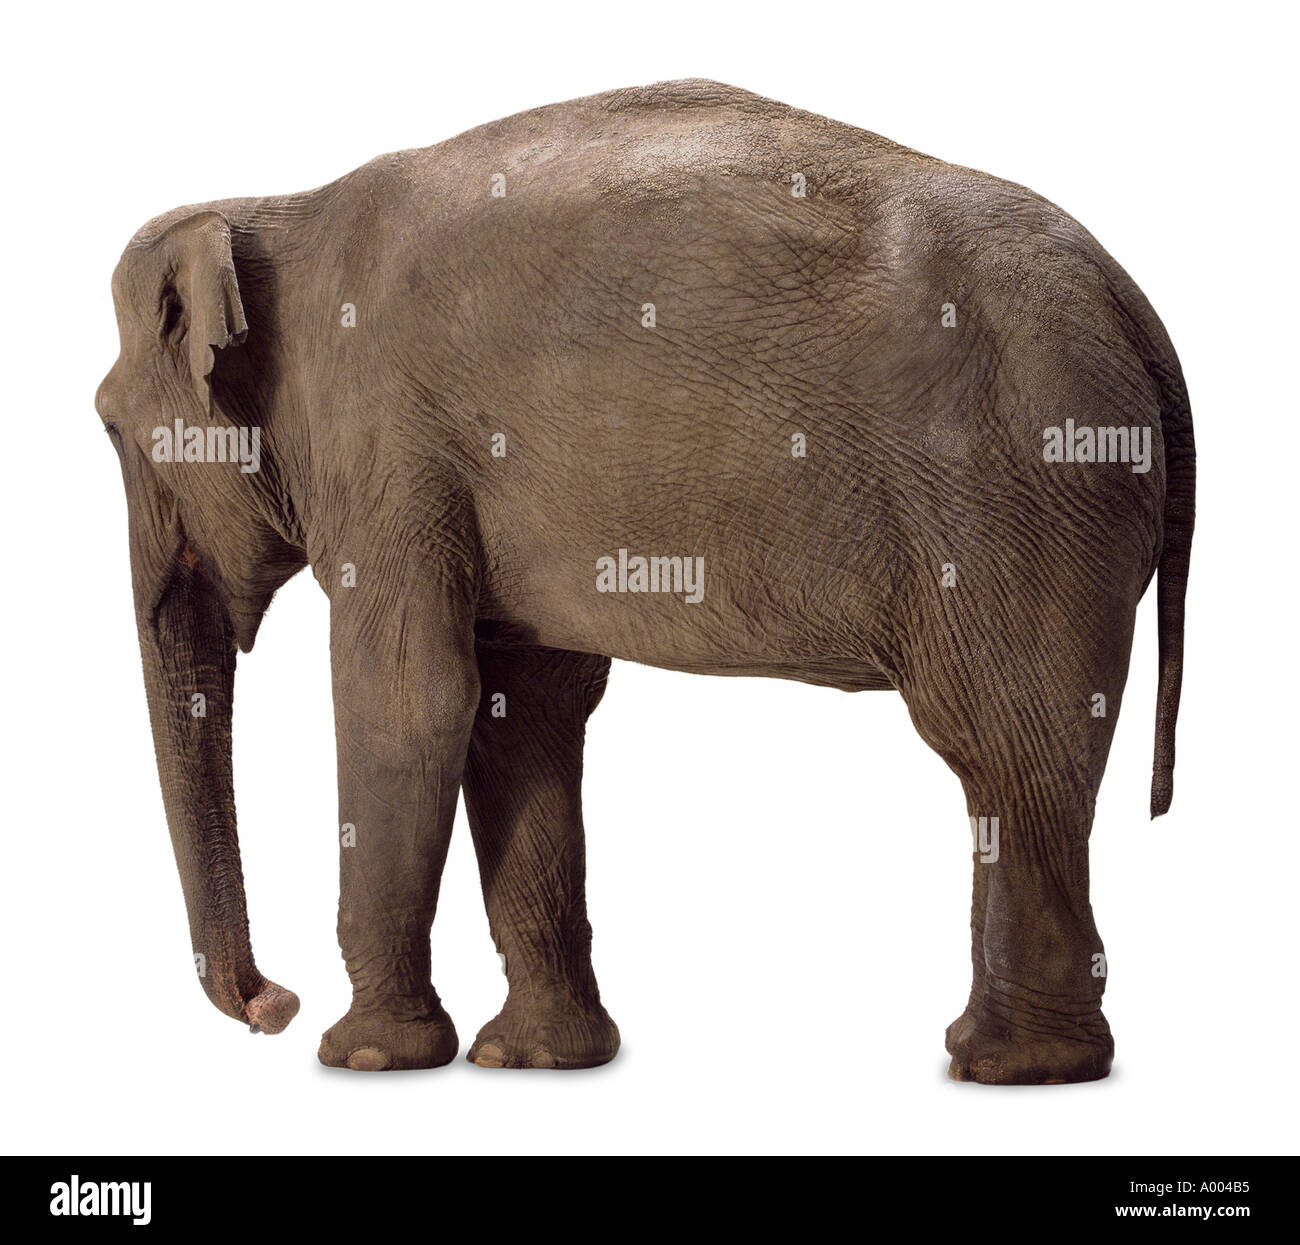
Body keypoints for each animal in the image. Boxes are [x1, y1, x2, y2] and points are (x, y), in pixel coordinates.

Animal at [95, 79, 1193, 1084]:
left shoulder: (387, 455)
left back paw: (1012, 1068)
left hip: (1019, 498)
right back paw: (994, 1052)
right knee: (1014, 767)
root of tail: (1131, 300)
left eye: (108, 426)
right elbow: (519, 714)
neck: (280, 206)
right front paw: (531, 1060)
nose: (270, 1007)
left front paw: (365, 1058)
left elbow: (410, 705)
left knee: (1003, 745)